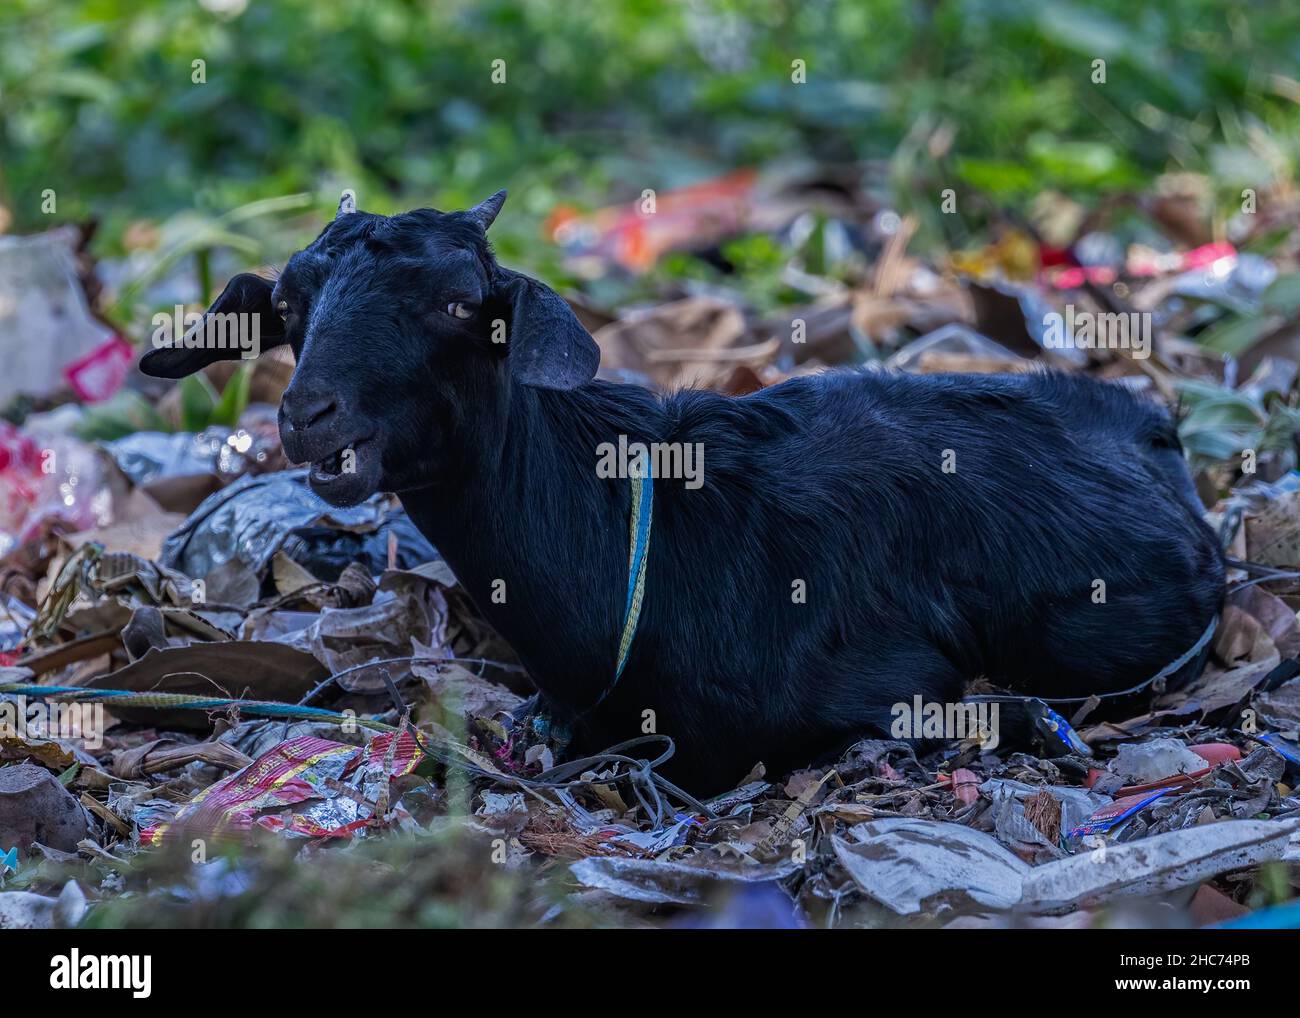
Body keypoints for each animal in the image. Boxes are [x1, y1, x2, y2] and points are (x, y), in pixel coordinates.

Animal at [140, 191, 1225, 794]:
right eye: (289, 309)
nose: (310, 414)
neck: (630, 527)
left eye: (457, 305)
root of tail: (1149, 425)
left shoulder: (878, 685)